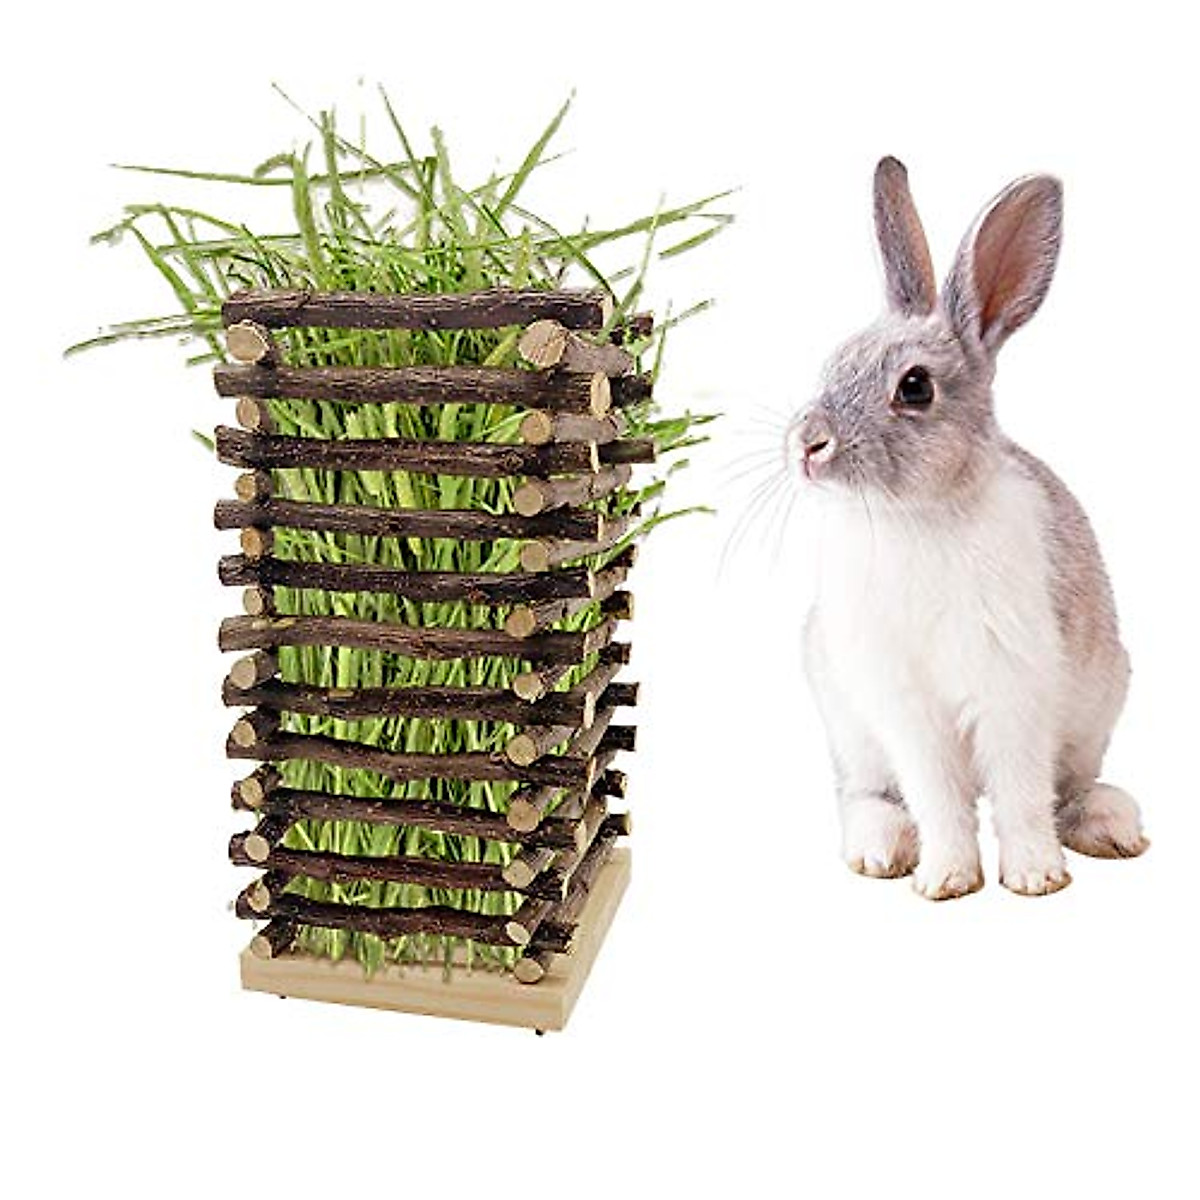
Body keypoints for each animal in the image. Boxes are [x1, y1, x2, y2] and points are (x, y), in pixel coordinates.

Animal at [792, 157, 1148, 899]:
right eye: (832, 364)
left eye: (915, 387)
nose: (806, 445)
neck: (919, 516)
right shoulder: (905, 707)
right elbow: (938, 796)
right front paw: (947, 879)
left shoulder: (1015, 688)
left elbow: (1020, 793)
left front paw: (1036, 877)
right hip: (850, 727)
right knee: (866, 794)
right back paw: (879, 850)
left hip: (1095, 711)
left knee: (1067, 788)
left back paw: (1111, 825)